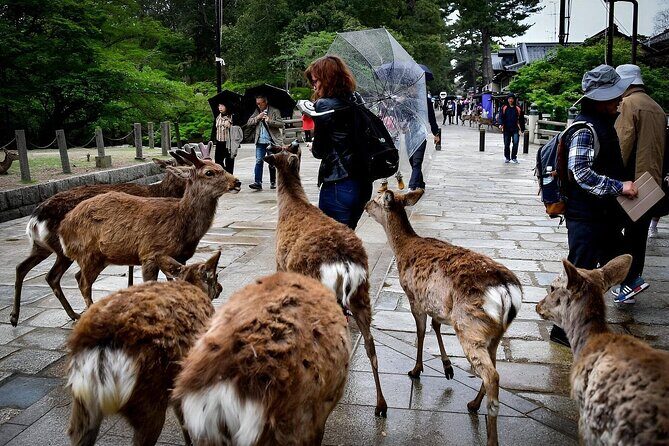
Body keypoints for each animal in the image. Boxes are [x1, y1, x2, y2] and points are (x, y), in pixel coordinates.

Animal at [10, 154, 192, 326]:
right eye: (180, 165)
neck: (158, 192)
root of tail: (34, 220)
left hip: (41, 247)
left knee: (22, 267)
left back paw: (16, 317)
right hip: (65, 249)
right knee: (53, 276)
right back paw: (75, 314)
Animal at [57, 150, 240, 312]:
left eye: (220, 166)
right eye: (209, 172)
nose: (237, 182)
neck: (181, 225)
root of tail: (63, 226)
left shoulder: (180, 257)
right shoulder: (149, 253)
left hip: (100, 257)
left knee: (77, 277)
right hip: (88, 253)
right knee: (83, 284)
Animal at [262, 142, 388, 417]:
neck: (291, 205)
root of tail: (344, 263)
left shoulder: (279, 263)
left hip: (321, 290)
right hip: (362, 293)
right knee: (371, 347)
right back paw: (380, 405)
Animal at [365, 189, 523, 446]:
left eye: (376, 199)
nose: (365, 206)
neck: (402, 249)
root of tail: (507, 291)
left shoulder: (414, 297)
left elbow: (421, 331)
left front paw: (416, 370)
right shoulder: (437, 304)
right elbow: (435, 326)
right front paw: (447, 367)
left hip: (469, 326)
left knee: (491, 374)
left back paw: (490, 436)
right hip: (495, 332)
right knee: (495, 368)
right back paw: (473, 403)